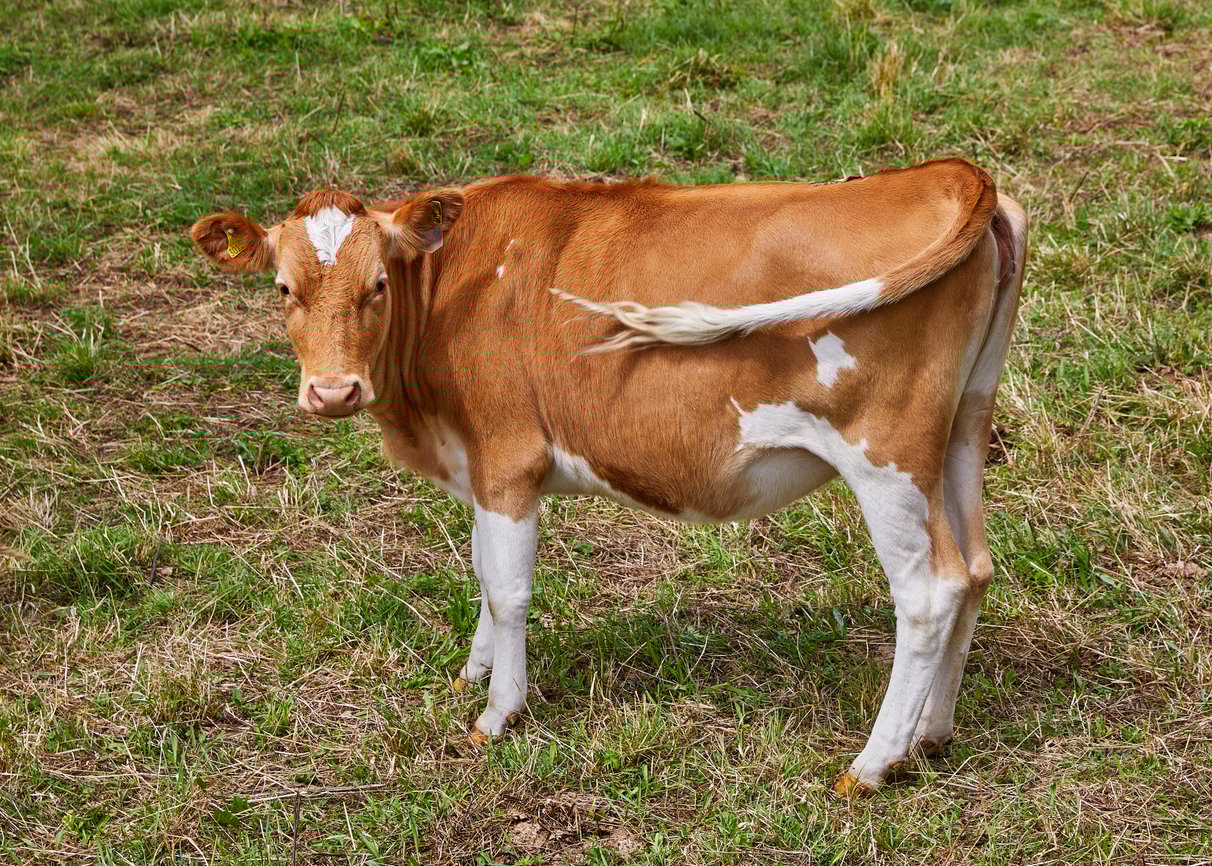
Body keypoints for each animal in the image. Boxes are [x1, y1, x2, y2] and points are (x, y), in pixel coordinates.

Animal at [191, 158, 1028, 794]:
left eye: (378, 286)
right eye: (284, 288)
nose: (334, 391)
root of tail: (941, 171)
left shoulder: (507, 456)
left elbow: (507, 588)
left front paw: (497, 714)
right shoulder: (481, 466)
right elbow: (481, 573)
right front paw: (472, 674)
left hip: (886, 457)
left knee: (929, 591)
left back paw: (874, 763)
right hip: (961, 429)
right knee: (976, 569)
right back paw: (931, 735)